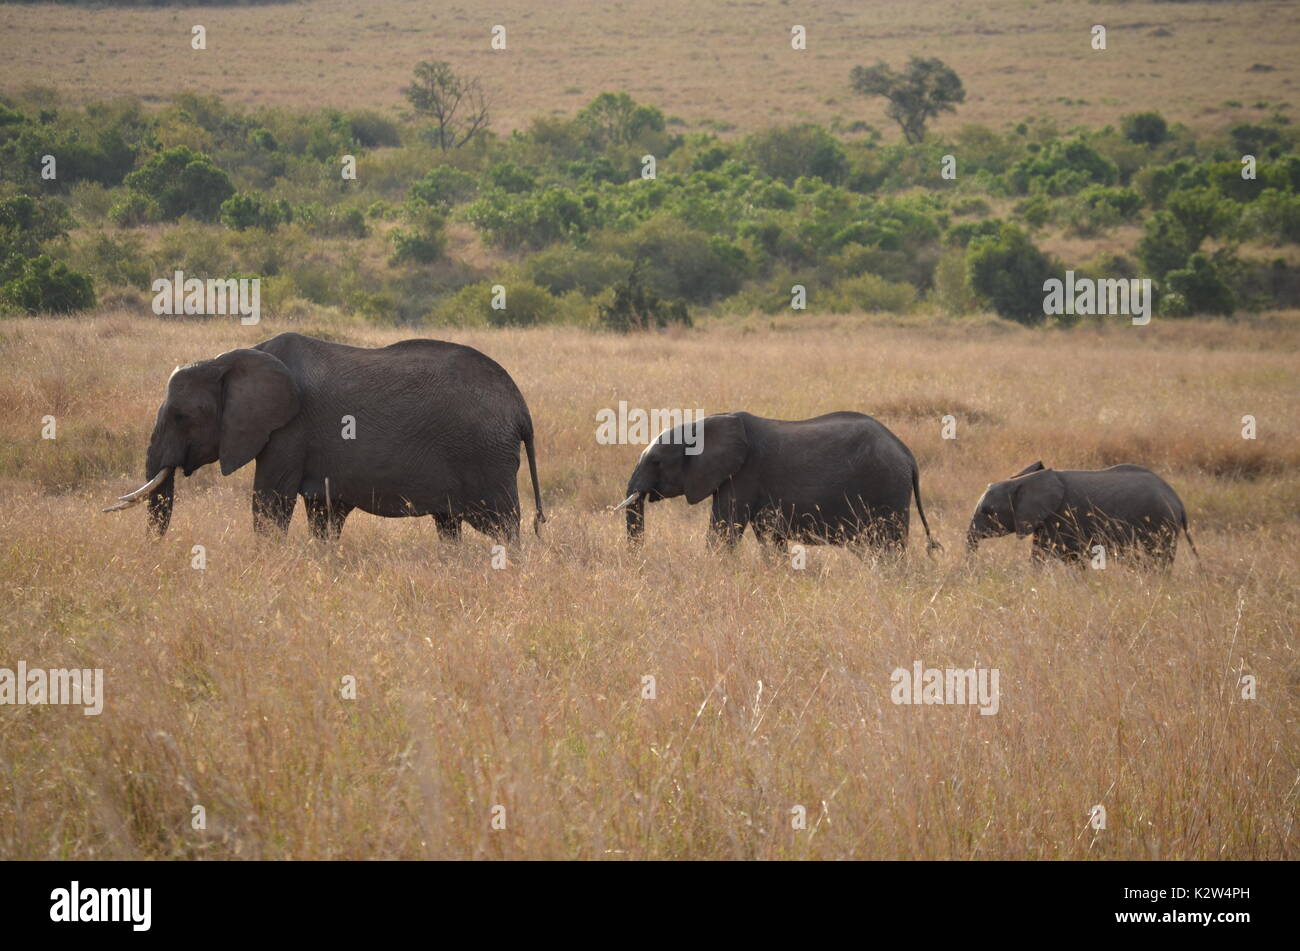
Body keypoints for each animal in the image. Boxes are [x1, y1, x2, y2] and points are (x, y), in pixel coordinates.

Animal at [104, 332, 545, 542]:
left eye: (181, 416)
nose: (154, 553)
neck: (229, 358)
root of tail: (521, 407)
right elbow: (324, 514)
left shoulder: (288, 429)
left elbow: (270, 503)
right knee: (449, 525)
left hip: (485, 457)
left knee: (503, 526)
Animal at [614, 411, 940, 554]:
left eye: (657, 462)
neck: (703, 424)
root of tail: (908, 455)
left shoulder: (744, 474)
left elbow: (724, 531)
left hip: (887, 490)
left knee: (888, 546)